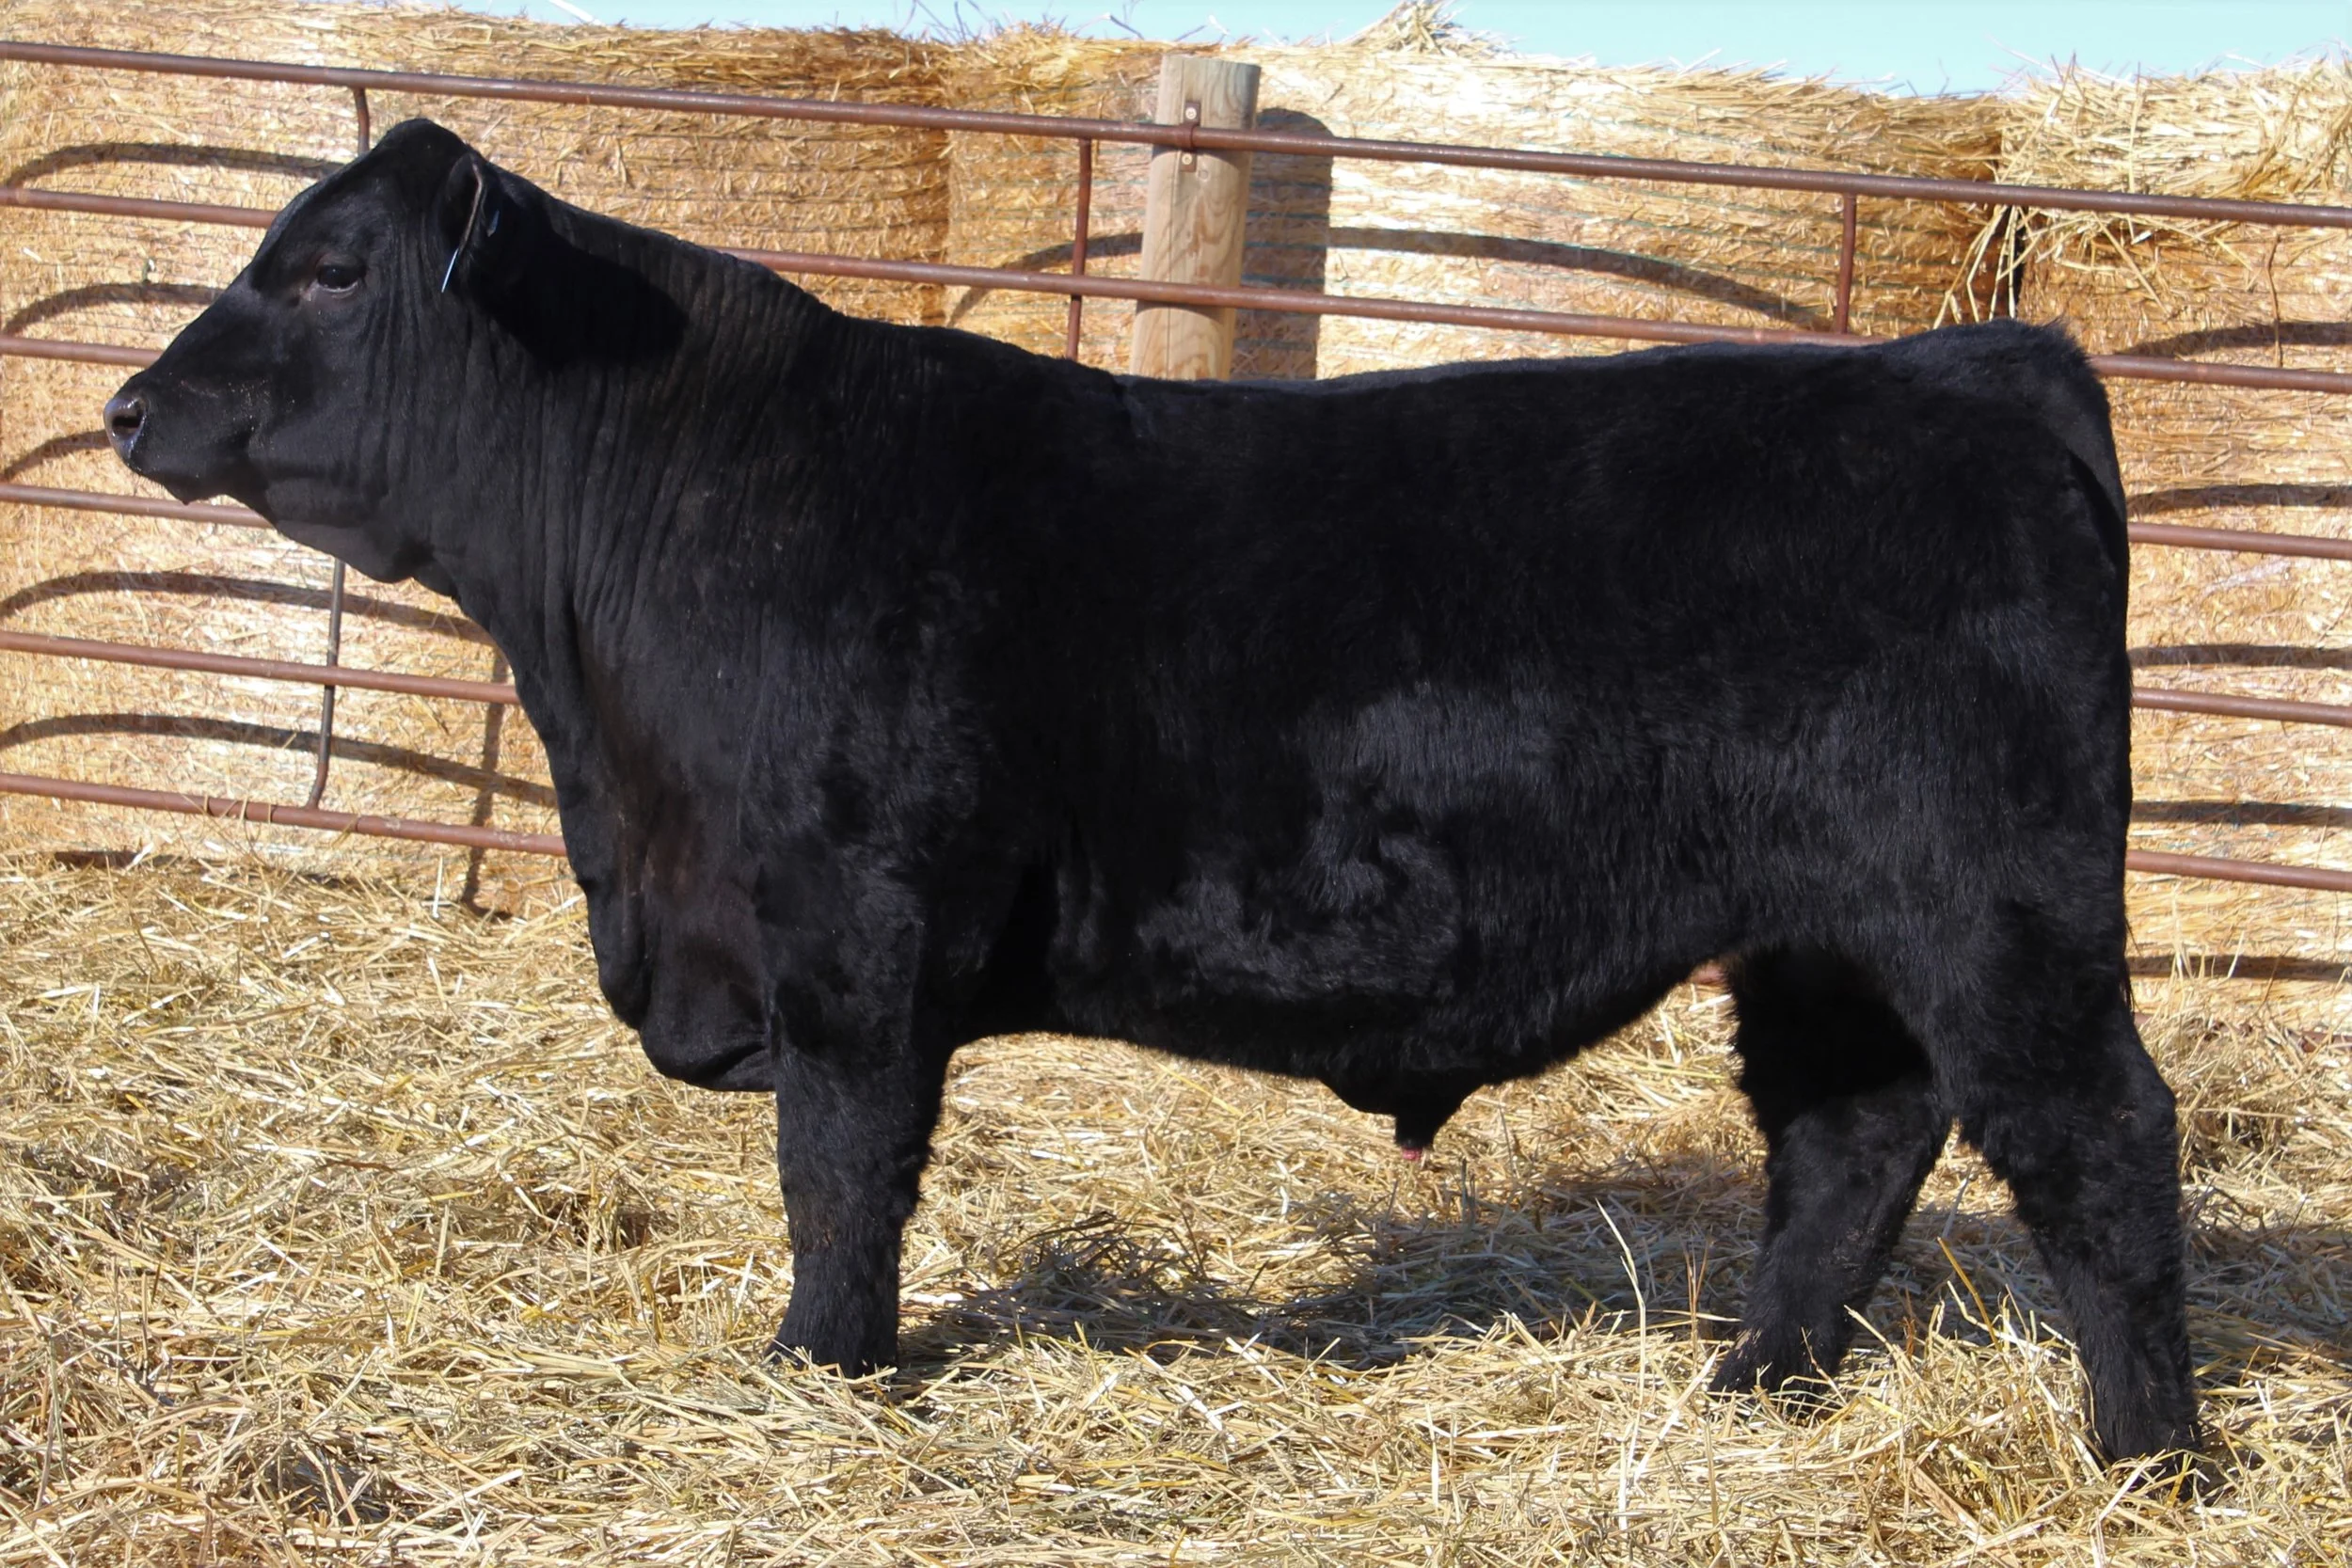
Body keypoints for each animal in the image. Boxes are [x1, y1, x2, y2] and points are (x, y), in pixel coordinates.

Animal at [104, 119, 2196, 1463]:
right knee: (1851, 1132)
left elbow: (840, 1165)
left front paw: (819, 1363)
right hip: (1823, 929)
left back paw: (2144, 1450)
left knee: (2094, 1133)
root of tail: (1965, 364)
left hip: (1996, 905)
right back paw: (1755, 1383)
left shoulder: (854, 931)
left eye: (331, 265)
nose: (129, 405)